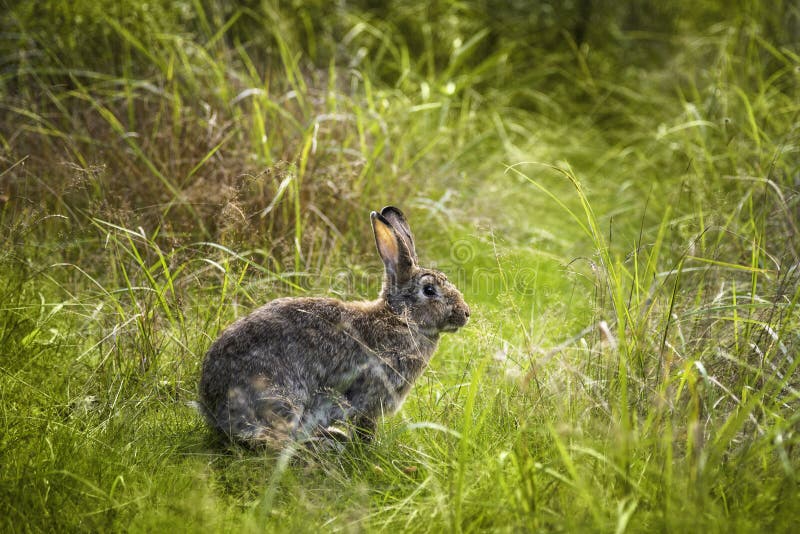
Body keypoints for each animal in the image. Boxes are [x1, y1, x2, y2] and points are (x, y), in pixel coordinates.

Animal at [198, 206, 470, 448]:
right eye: (429, 290)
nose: (466, 313)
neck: (401, 318)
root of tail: (213, 409)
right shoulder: (371, 396)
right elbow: (366, 428)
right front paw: (367, 449)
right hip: (283, 398)